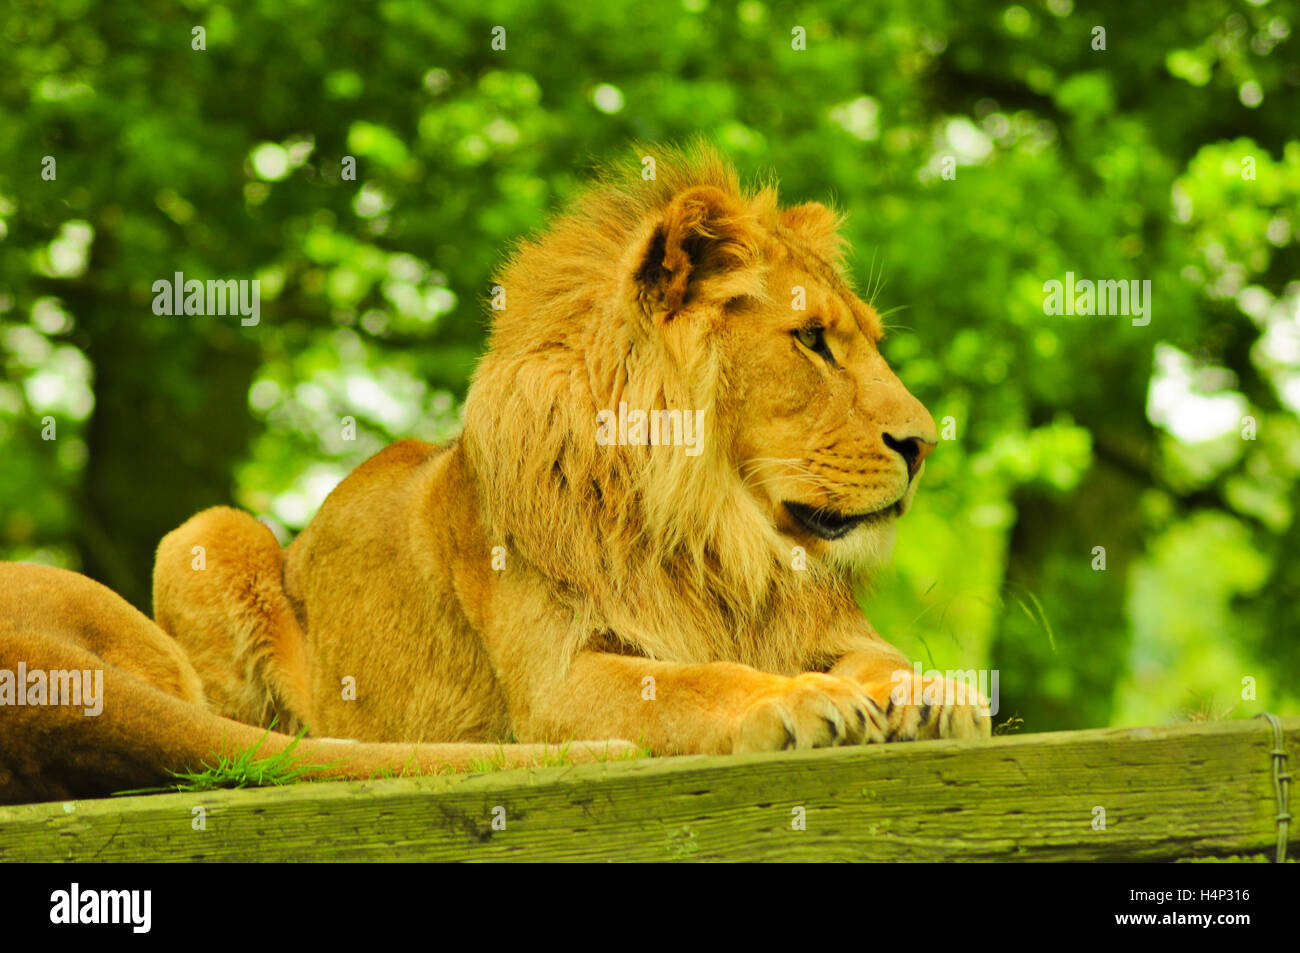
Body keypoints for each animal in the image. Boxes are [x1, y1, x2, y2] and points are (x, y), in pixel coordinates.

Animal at [0, 144, 989, 803]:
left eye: (868, 340)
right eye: (812, 341)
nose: (924, 441)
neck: (718, 534)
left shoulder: (828, 625)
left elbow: (887, 660)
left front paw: (935, 695)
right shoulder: (557, 685)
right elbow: (696, 678)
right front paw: (799, 701)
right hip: (203, 534)